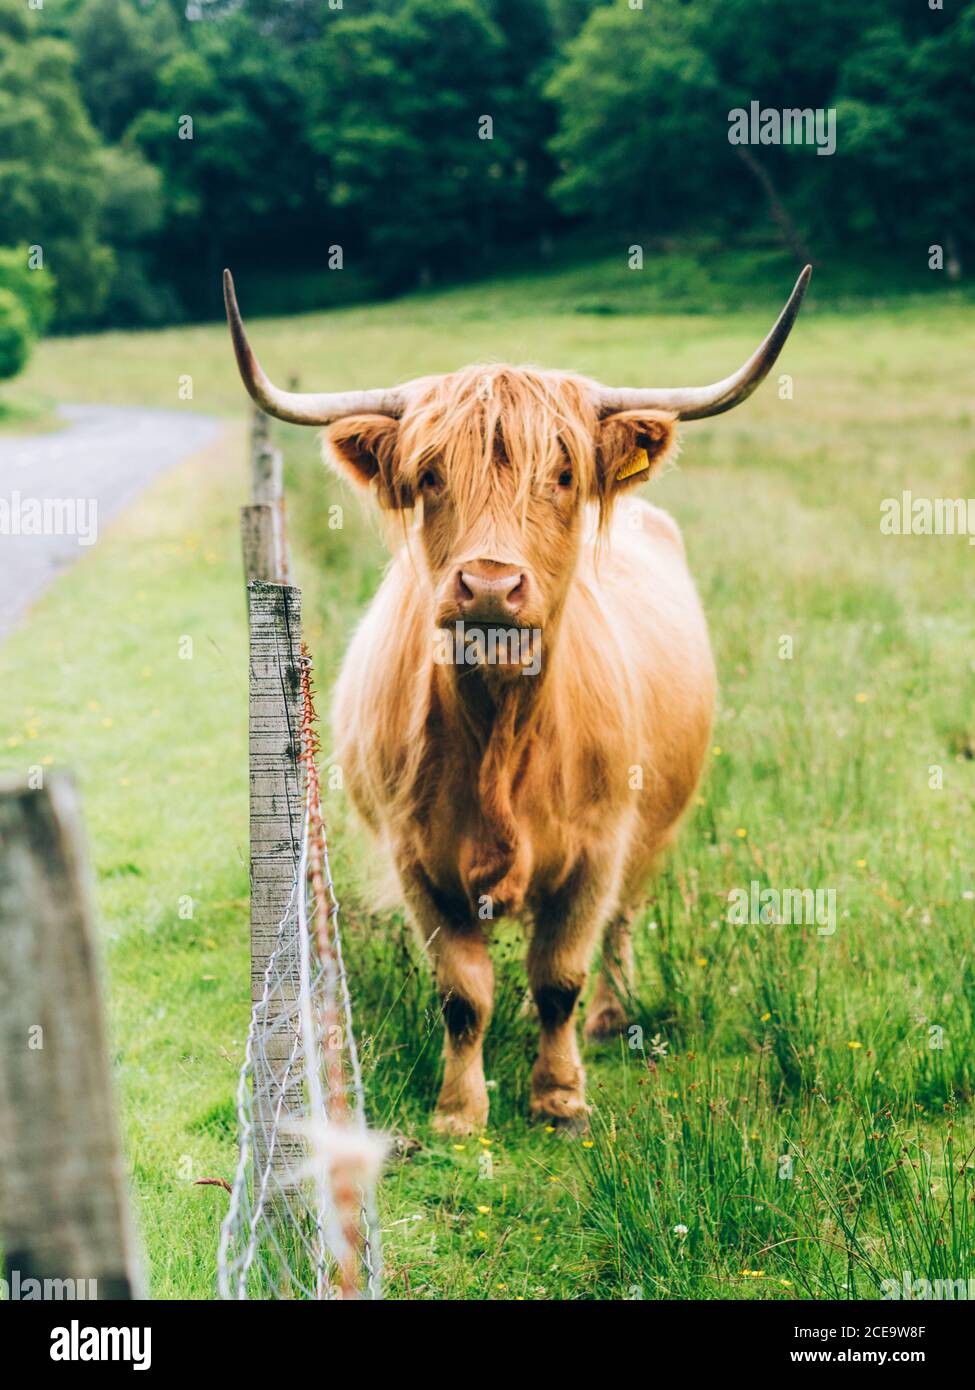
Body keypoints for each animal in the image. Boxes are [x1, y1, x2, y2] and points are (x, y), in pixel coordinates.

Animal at [224, 266, 810, 1135]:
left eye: (563, 475)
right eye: (430, 475)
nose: (491, 586)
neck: (500, 729)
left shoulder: (598, 848)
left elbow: (559, 974)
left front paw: (560, 1097)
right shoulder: (418, 859)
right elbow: (462, 993)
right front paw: (459, 1111)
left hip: (653, 827)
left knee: (618, 927)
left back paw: (611, 1015)